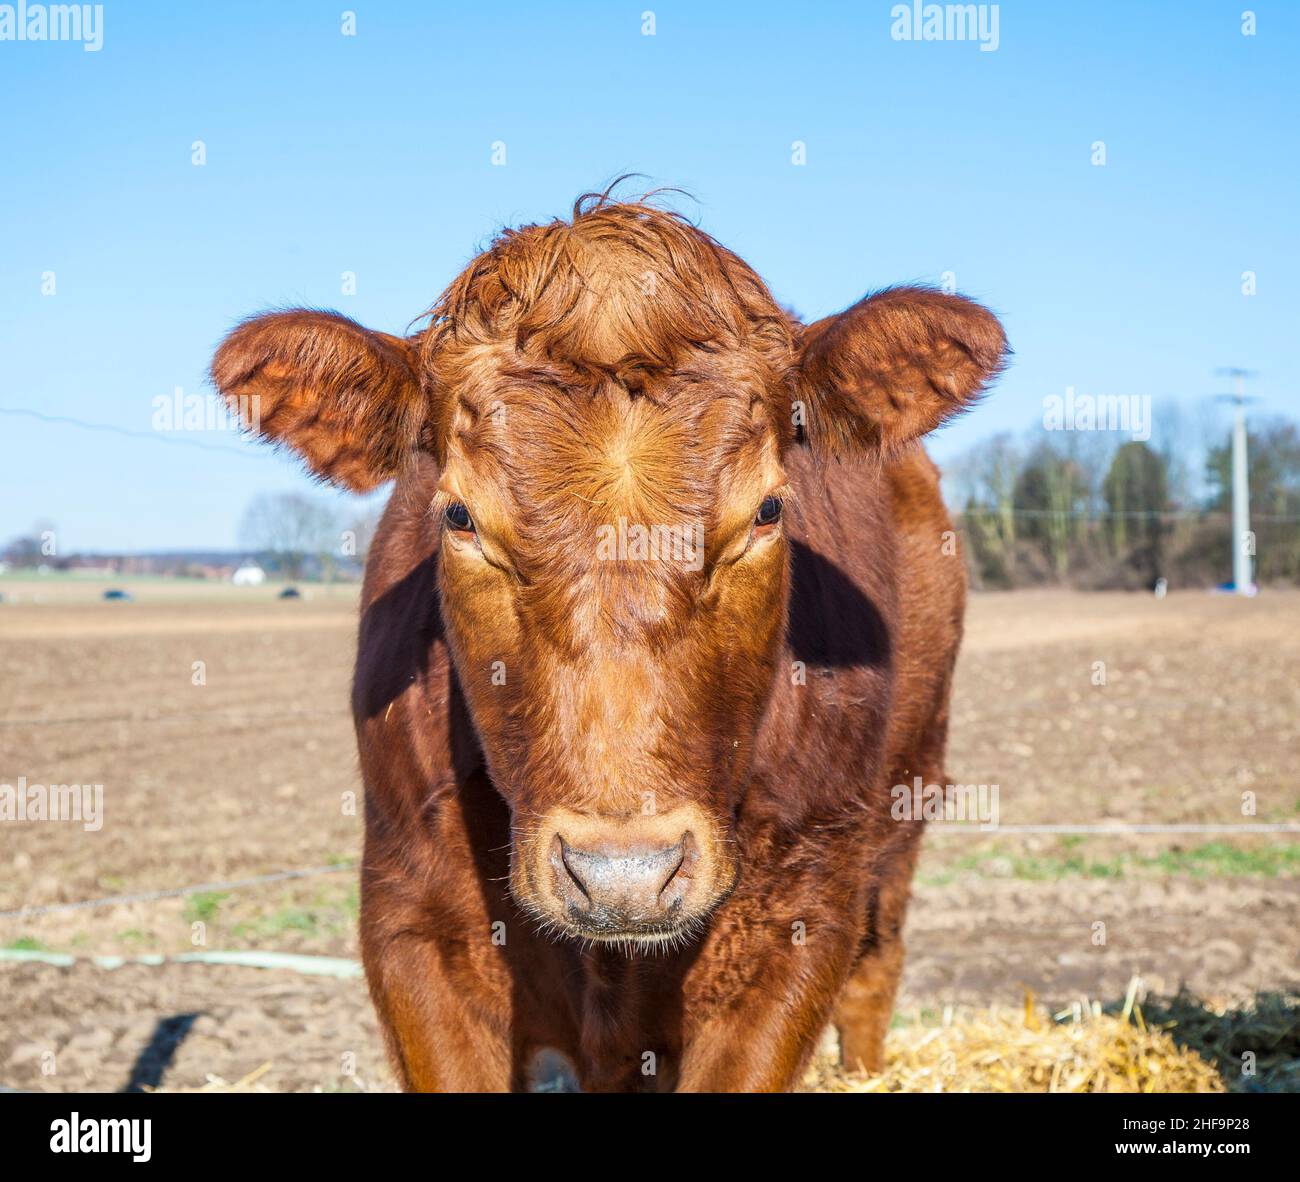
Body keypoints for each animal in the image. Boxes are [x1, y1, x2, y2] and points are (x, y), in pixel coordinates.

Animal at [211, 189, 1007, 1092]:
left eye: (768, 510)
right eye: (459, 515)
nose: (623, 877)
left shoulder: (801, 918)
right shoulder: (409, 919)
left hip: (907, 801)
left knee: (876, 971)